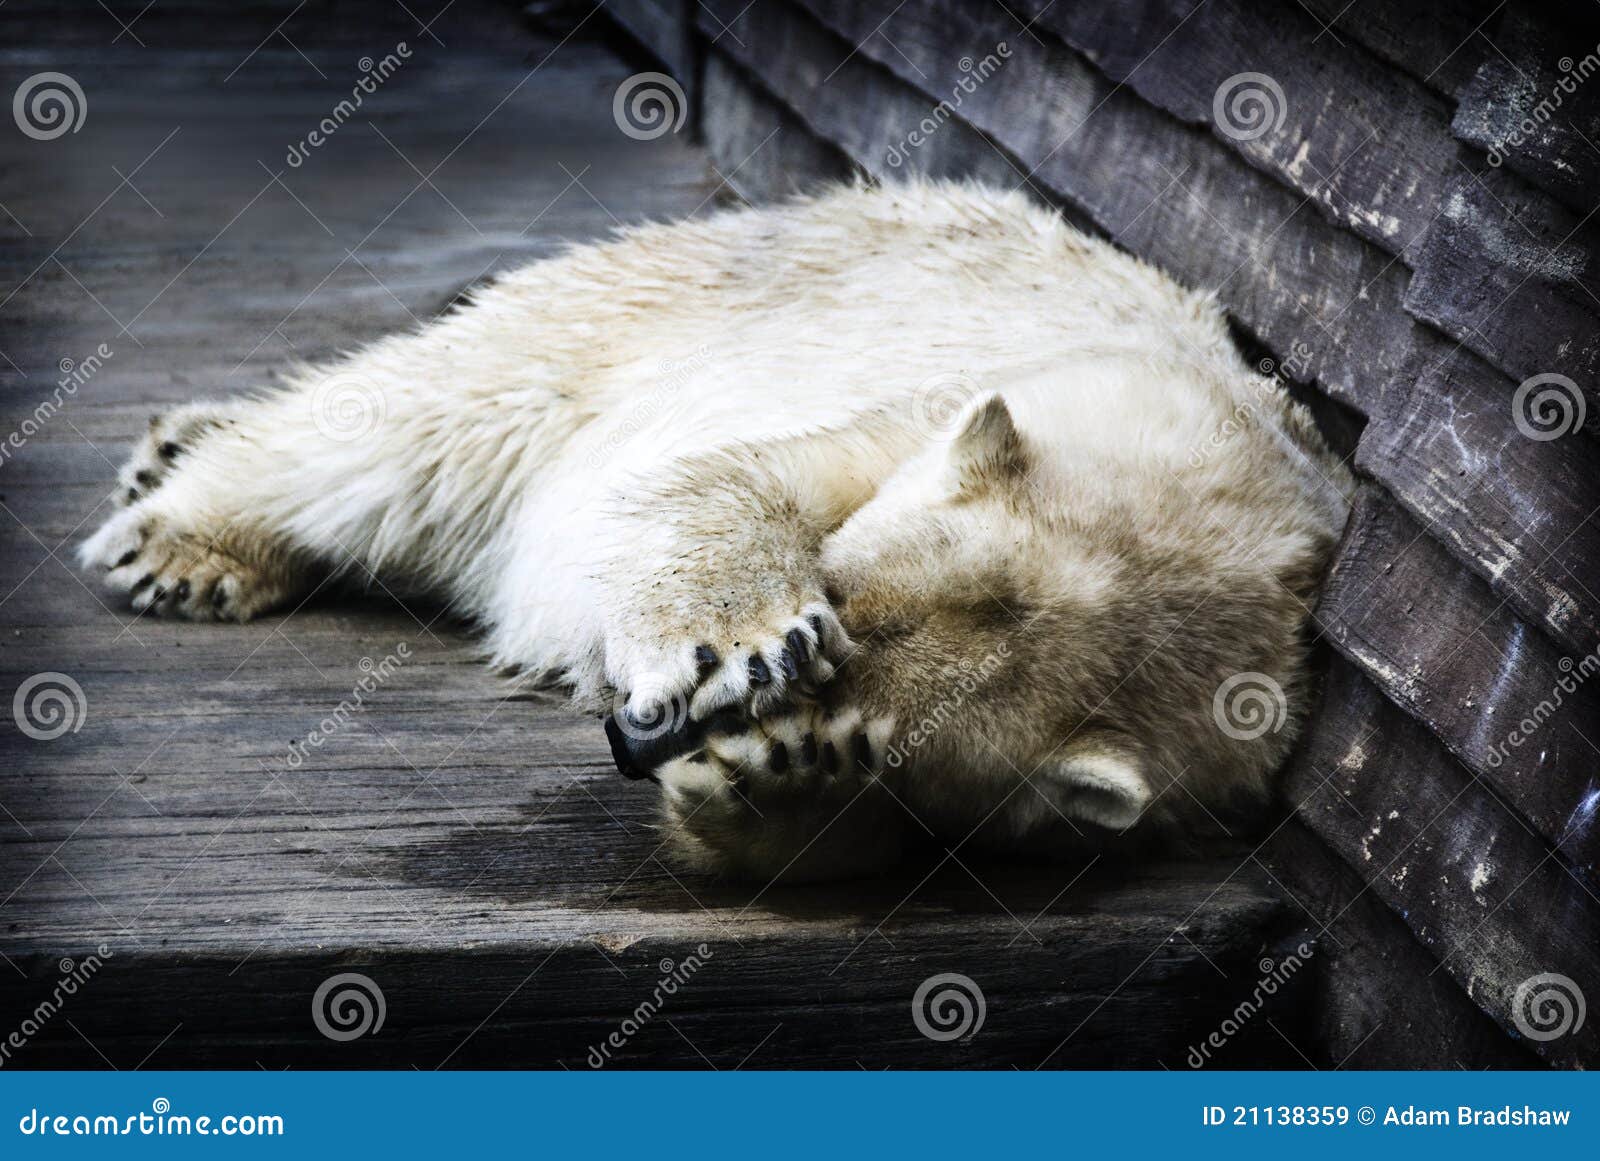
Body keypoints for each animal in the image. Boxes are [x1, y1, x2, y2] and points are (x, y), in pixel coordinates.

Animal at [78, 178, 1354, 881]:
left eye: (877, 736)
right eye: (835, 597)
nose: (628, 740)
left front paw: (774, 782)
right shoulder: (965, 395)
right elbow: (723, 475)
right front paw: (736, 640)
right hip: (668, 297)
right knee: (427, 418)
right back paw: (183, 527)